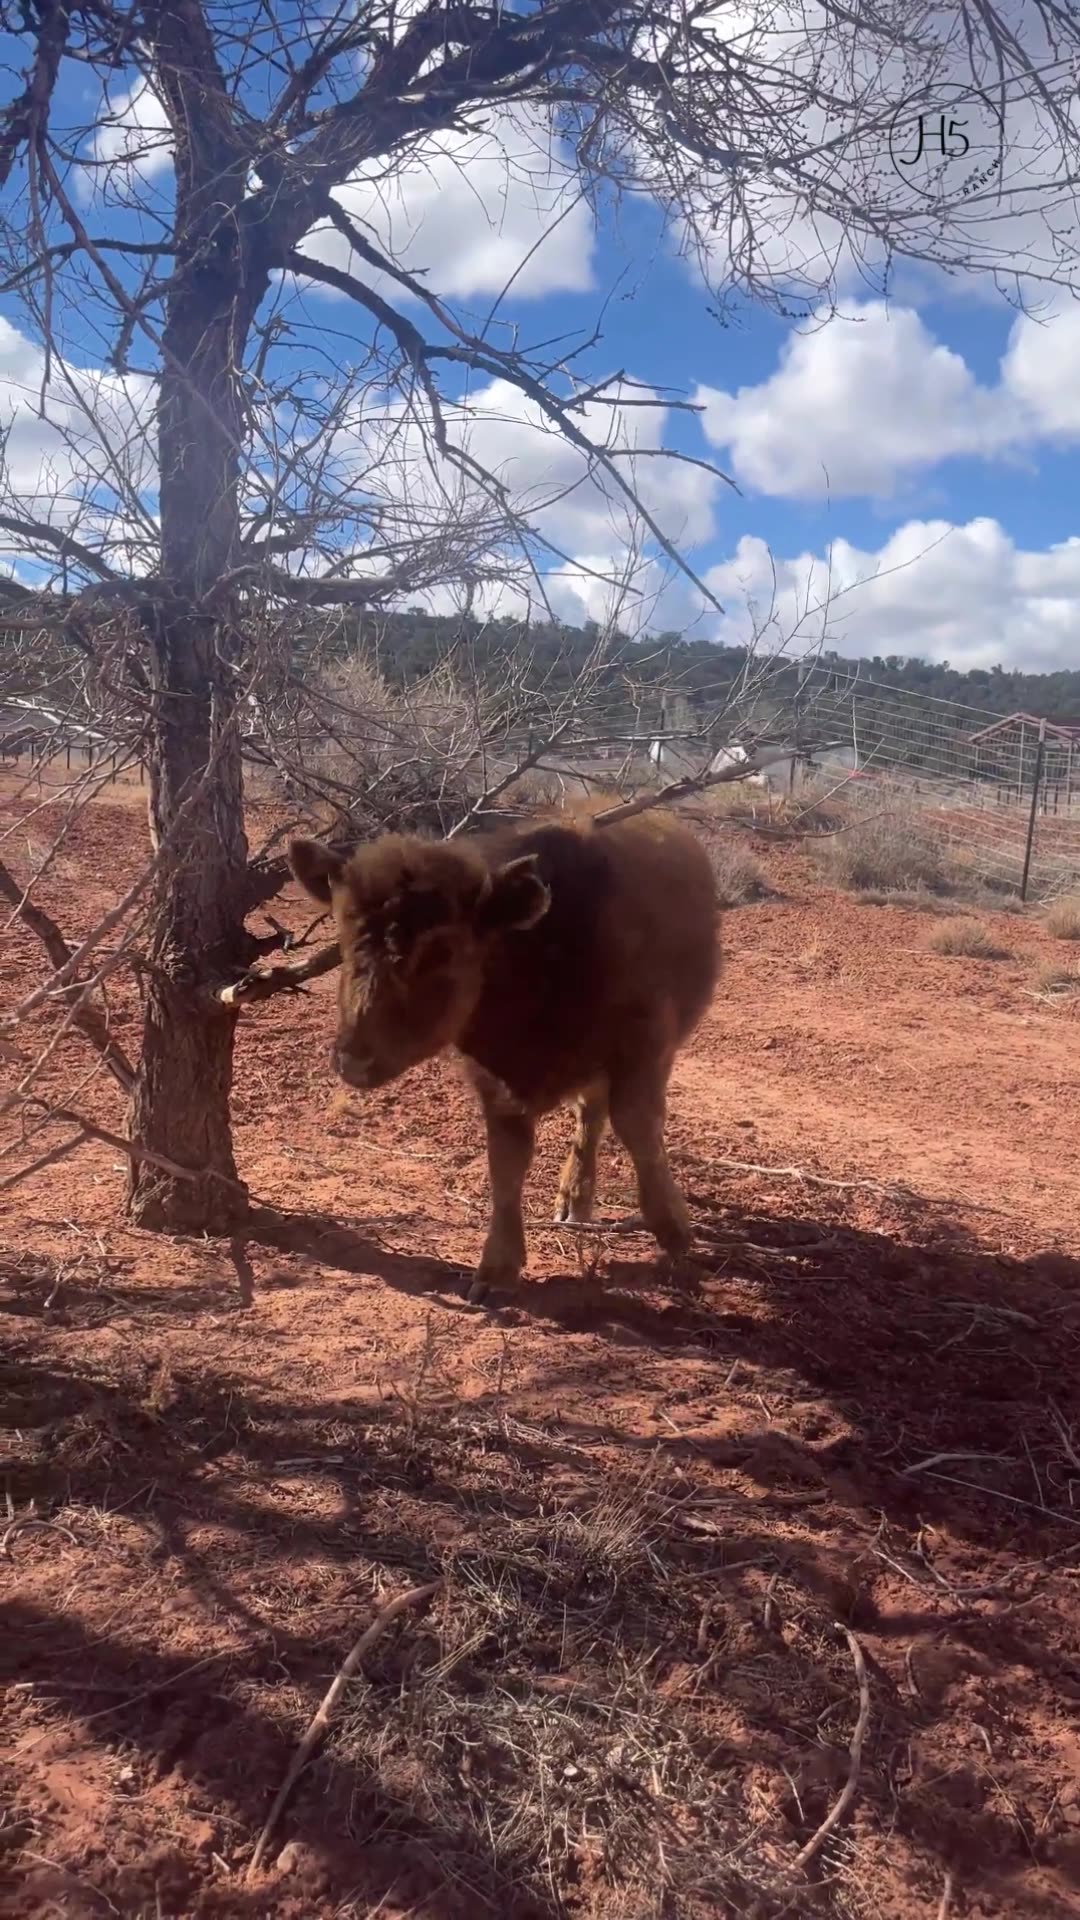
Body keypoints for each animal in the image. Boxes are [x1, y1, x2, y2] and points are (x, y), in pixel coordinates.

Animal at [288, 805, 719, 1303]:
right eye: (342, 937)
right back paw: (573, 1201)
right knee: (589, 1115)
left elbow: (638, 1129)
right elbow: (507, 1164)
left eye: (442, 951)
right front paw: (496, 1272)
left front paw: (673, 1233)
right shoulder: (497, 1084)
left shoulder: (643, 1049)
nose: (354, 1059)